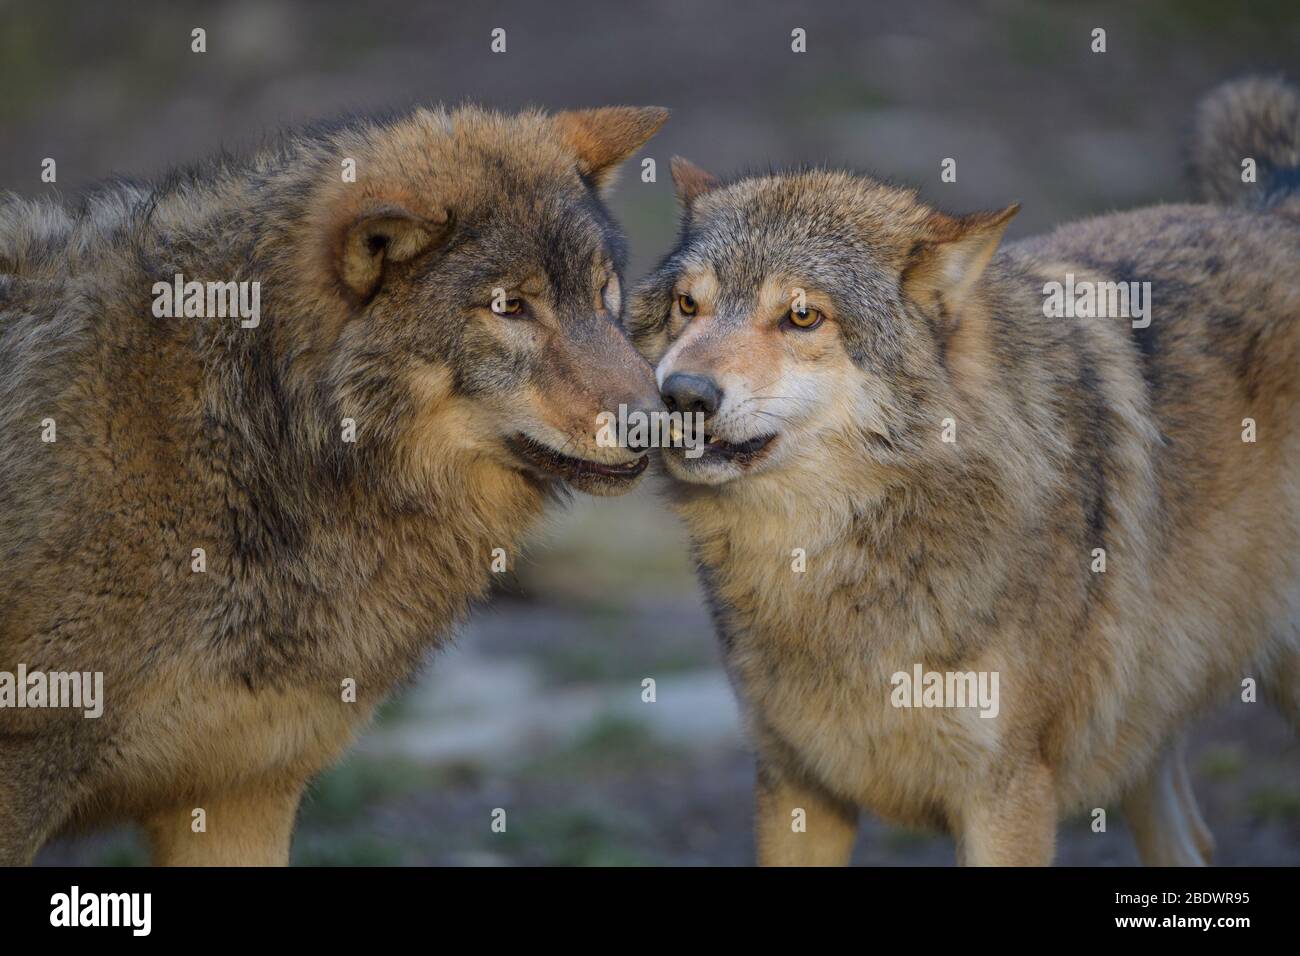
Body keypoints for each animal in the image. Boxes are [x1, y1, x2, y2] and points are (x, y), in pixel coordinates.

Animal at [627, 77, 1300, 865]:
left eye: (801, 316)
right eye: (687, 305)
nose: (681, 395)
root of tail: (1276, 206)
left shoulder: (1006, 795)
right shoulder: (796, 787)